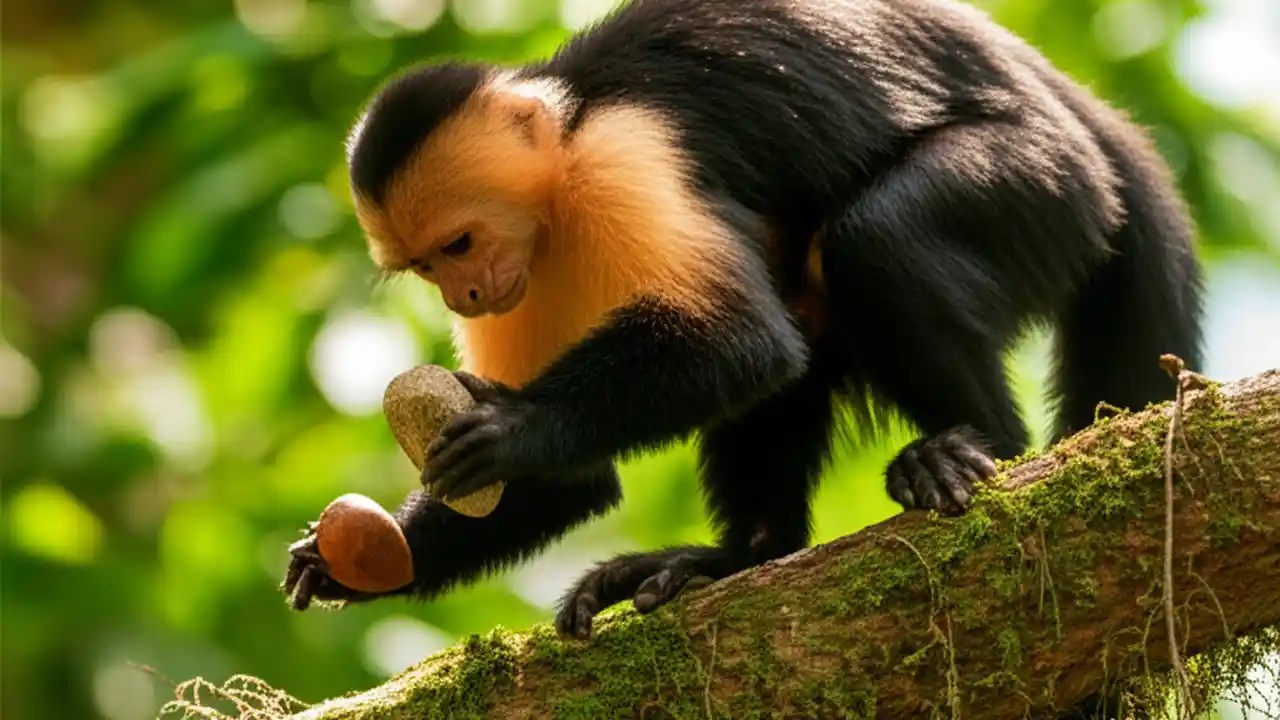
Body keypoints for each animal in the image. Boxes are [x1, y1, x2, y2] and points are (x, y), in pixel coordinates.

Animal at [284, 0, 1203, 670]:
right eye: (426, 267)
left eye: (459, 244)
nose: (467, 295)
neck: (564, 156)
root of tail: (1076, 109)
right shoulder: (530, 272)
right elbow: (567, 486)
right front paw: (364, 558)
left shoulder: (625, 154)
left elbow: (744, 343)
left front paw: (513, 425)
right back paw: (741, 558)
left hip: (1050, 183)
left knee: (875, 240)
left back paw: (976, 449)